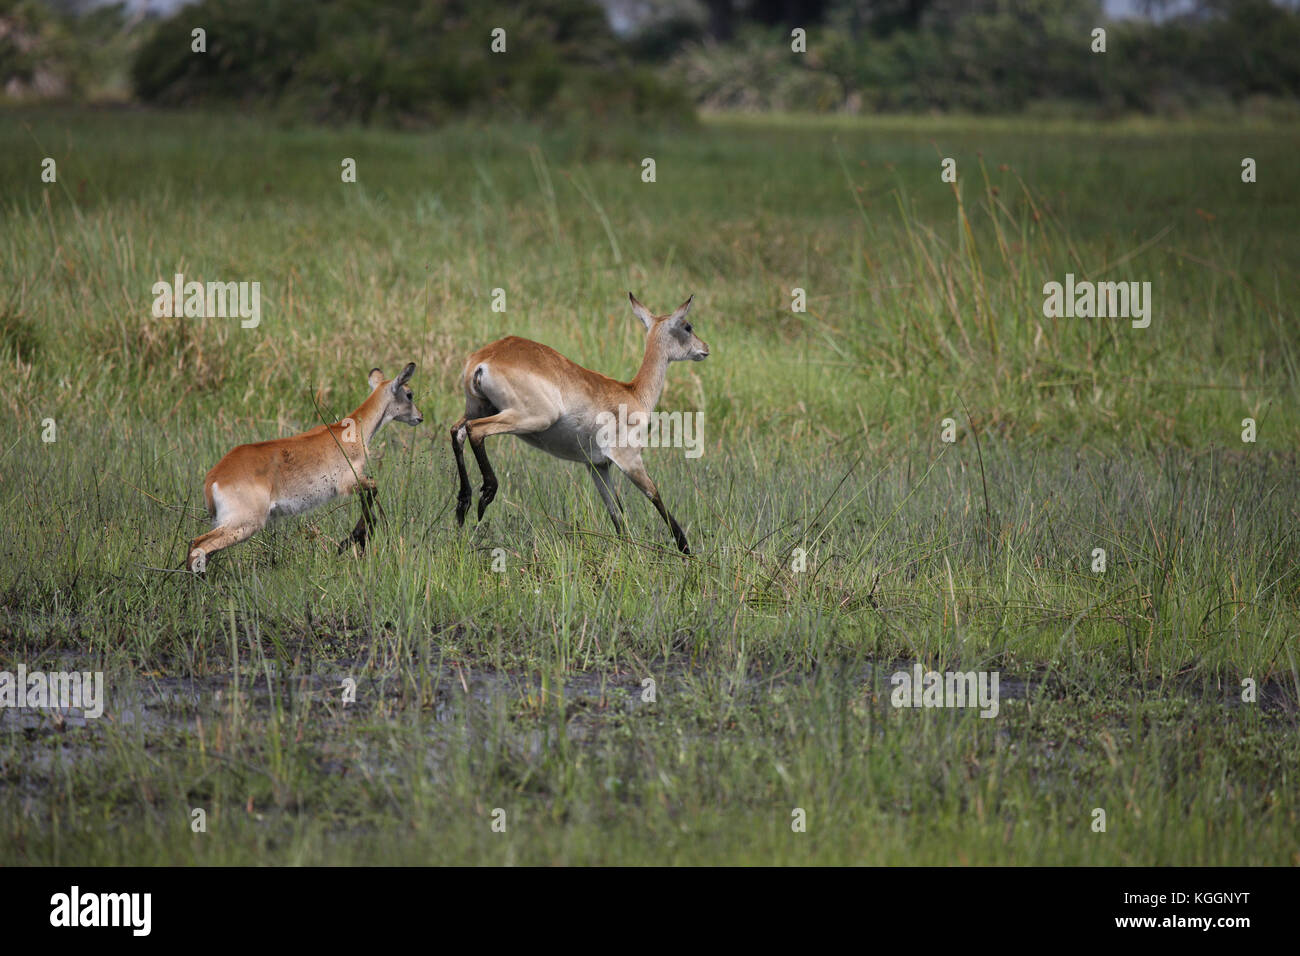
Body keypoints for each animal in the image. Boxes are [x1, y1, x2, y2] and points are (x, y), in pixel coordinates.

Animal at [187, 363, 423, 572]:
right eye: (409, 394)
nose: (419, 417)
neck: (352, 432)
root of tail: (214, 477)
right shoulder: (348, 482)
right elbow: (373, 488)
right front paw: (353, 539)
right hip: (243, 524)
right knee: (199, 545)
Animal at [450, 293, 708, 553]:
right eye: (688, 326)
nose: (705, 348)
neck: (634, 394)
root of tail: (484, 358)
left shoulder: (598, 465)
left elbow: (616, 513)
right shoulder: (629, 459)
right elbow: (655, 495)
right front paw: (686, 549)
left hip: (478, 408)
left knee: (456, 431)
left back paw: (463, 505)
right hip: (530, 418)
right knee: (475, 430)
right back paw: (485, 496)